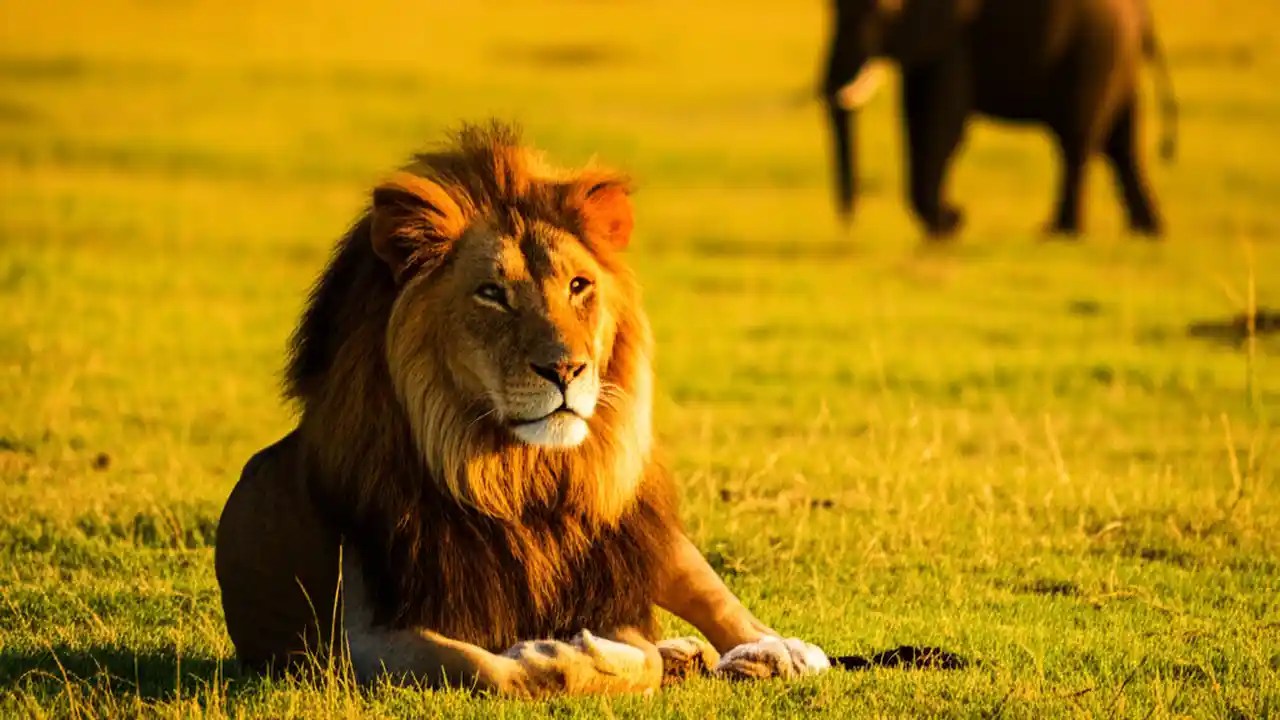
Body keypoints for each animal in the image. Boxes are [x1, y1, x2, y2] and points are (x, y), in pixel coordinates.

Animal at [214, 122, 830, 697]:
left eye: (579, 285)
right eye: (491, 293)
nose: (565, 370)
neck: (517, 476)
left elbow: (638, 655)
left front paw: (592, 649)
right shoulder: (361, 639)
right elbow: (487, 667)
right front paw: (554, 653)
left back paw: (776, 652)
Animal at [821, 0, 1177, 238]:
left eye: (881, 9)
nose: (849, 223)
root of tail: (1144, 15)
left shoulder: (956, 34)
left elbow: (943, 126)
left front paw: (950, 224)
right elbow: (917, 117)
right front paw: (949, 225)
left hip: (1097, 52)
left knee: (1078, 141)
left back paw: (1057, 233)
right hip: (1118, 58)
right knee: (1122, 144)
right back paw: (1147, 232)